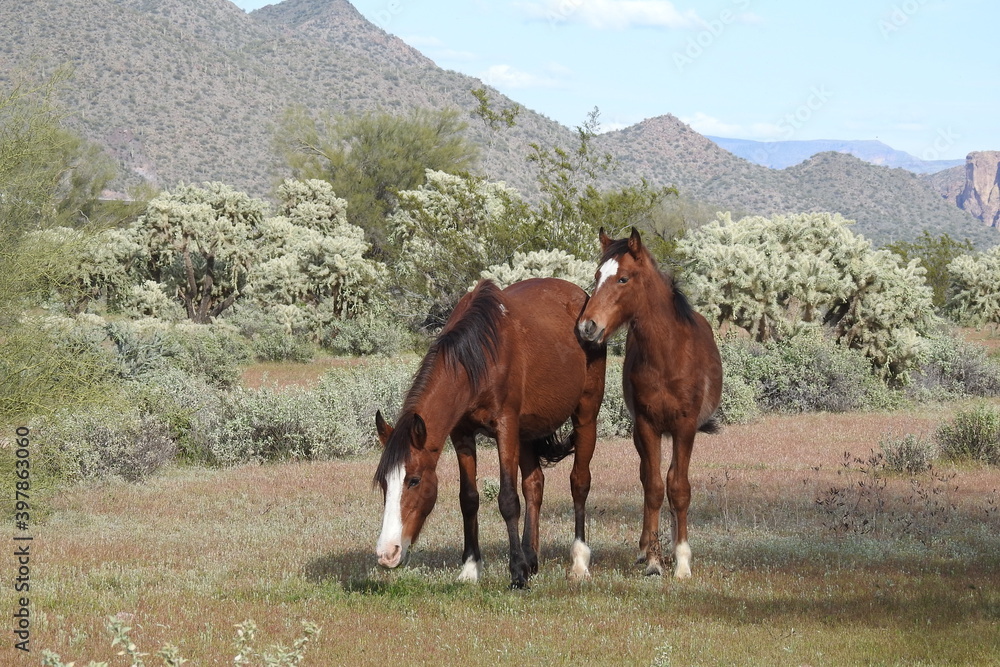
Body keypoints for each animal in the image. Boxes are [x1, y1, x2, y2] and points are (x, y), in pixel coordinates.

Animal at [373, 277, 607, 589]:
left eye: (414, 480)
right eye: (384, 483)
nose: (387, 554)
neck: (477, 357)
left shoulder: (505, 428)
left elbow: (507, 499)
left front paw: (517, 574)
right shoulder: (462, 434)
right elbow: (469, 499)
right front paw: (471, 568)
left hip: (585, 414)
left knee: (579, 482)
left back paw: (579, 562)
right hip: (527, 432)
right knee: (534, 485)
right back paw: (531, 558)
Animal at [577, 228, 722, 579]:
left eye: (623, 278)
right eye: (597, 276)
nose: (587, 327)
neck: (668, 356)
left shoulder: (685, 427)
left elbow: (679, 489)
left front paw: (682, 560)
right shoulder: (647, 425)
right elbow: (655, 487)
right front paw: (654, 560)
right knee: (649, 479)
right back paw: (646, 549)